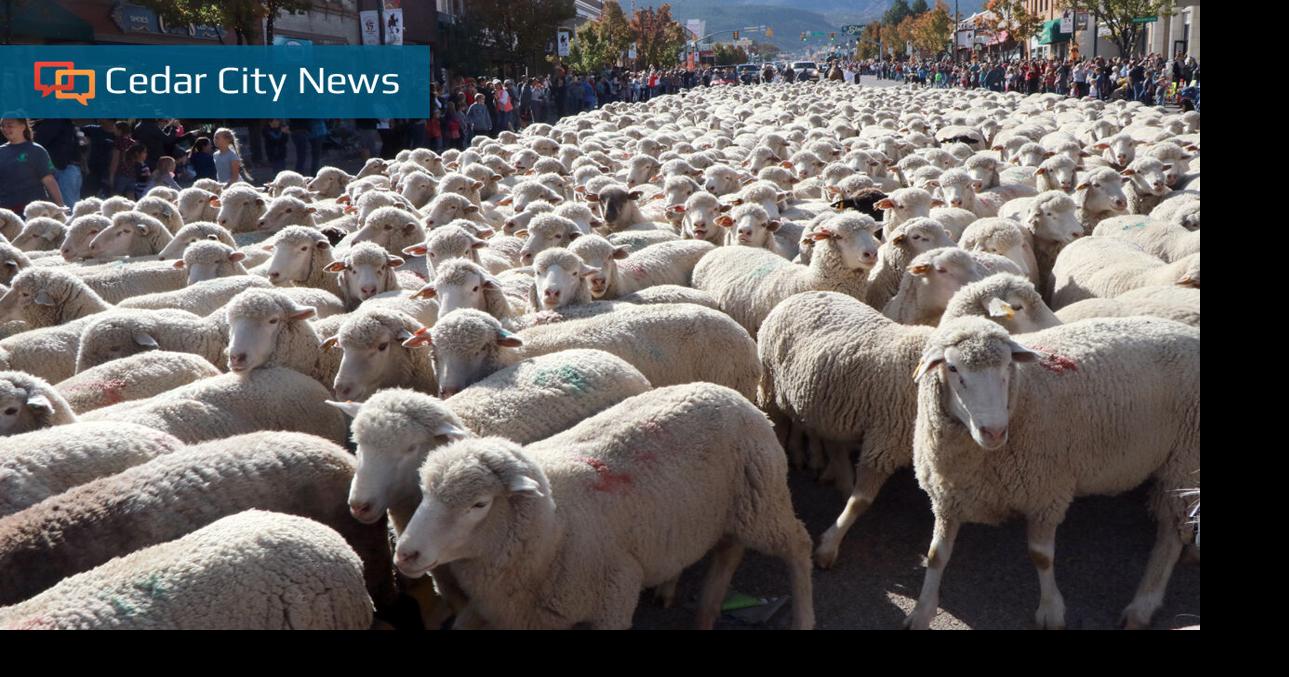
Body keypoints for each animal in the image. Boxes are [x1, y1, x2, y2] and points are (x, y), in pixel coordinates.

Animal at [391, 383, 814, 629]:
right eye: (424, 493)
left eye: (479, 504)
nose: (405, 554)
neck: (554, 527)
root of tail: (735, 394)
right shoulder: (501, 611)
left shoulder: (615, 592)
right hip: (729, 510)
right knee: (728, 550)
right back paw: (704, 614)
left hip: (763, 501)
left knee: (798, 545)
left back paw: (803, 618)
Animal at [906, 316, 1199, 630]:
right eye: (952, 368)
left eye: (1007, 366)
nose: (994, 431)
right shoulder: (948, 498)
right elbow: (936, 555)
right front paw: (921, 612)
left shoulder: (1047, 493)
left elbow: (1041, 557)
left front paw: (1051, 611)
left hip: (1186, 460)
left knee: (1171, 534)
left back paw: (1143, 604)